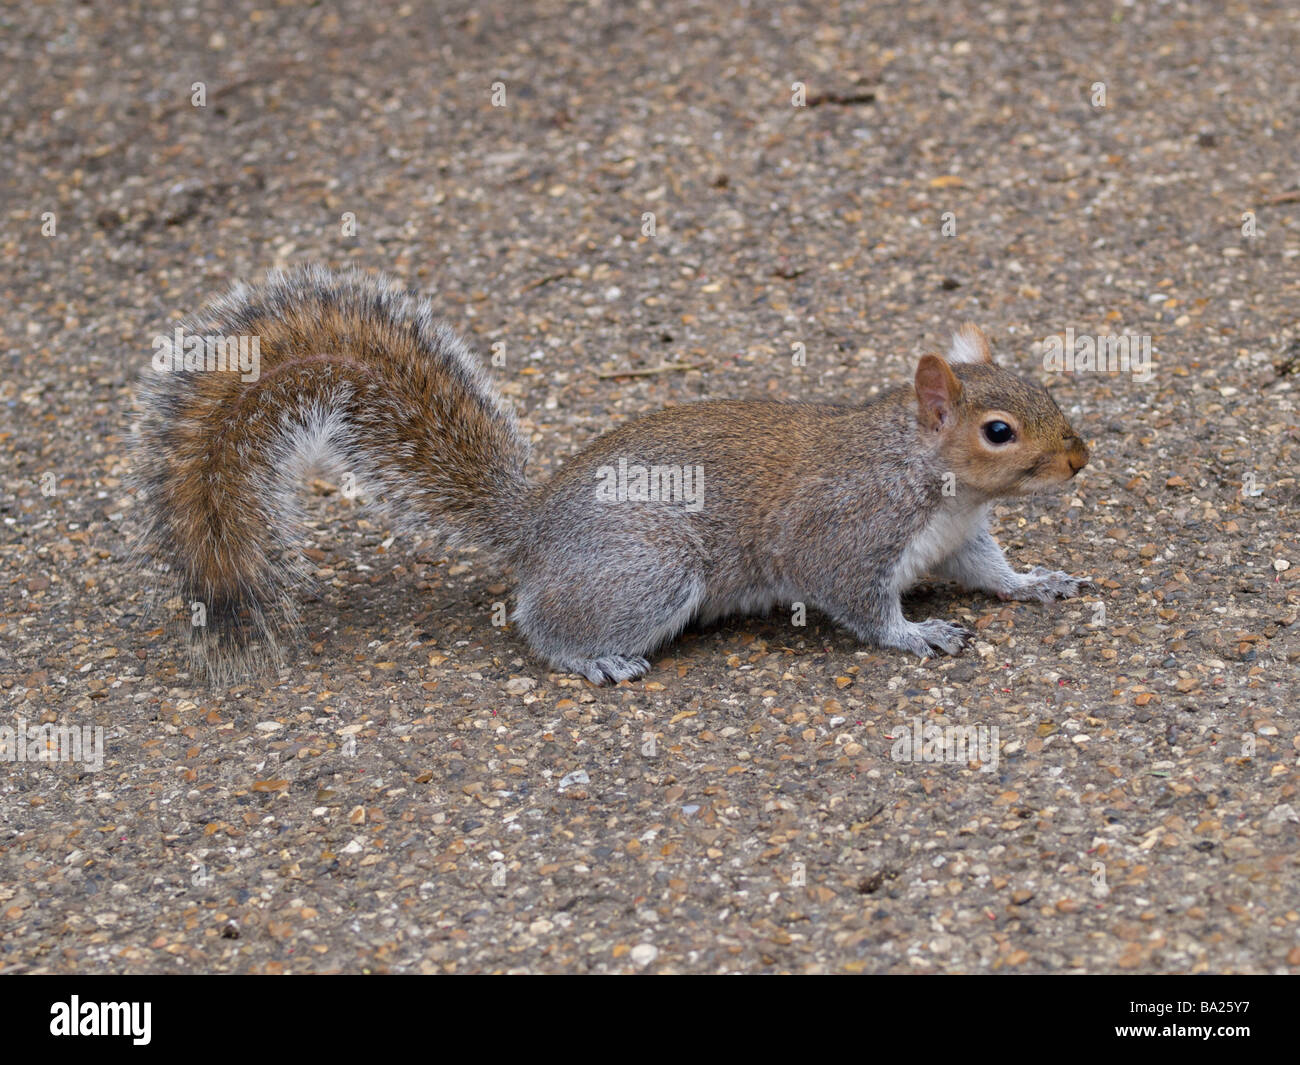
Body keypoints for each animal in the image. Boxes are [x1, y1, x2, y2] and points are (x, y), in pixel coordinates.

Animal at [132, 265, 1090, 685]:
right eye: (999, 432)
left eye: (1048, 391)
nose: (1080, 457)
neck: (931, 477)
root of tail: (533, 531)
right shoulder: (846, 527)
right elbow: (852, 596)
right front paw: (914, 634)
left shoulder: (955, 540)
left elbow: (990, 571)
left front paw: (1038, 581)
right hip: (650, 567)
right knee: (537, 621)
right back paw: (593, 659)